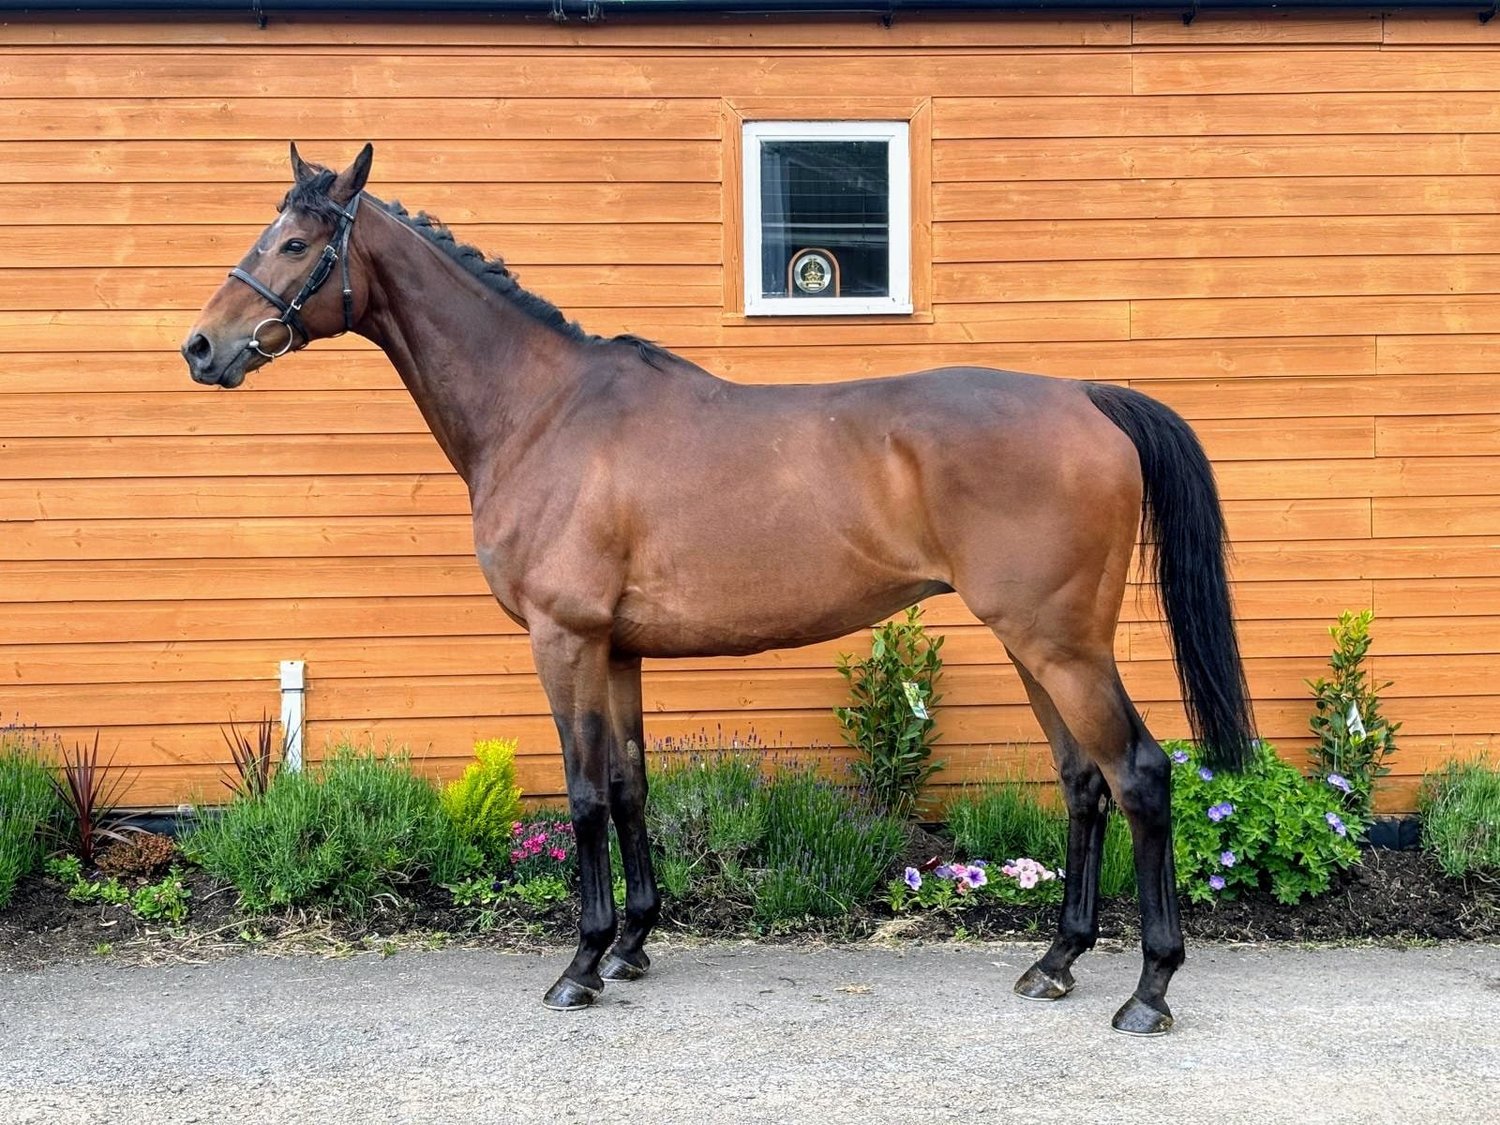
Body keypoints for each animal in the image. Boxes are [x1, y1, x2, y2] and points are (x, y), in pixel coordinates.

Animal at [182, 143, 1255, 1036]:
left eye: (294, 242)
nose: (201, 348)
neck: (543, 411)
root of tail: (1086, 398)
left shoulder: (563, 639)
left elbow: (581, 794)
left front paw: (578, 964)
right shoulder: (616, 648)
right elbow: (627, 785)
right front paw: (631, 944)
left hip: (1060, 643)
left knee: (1141, 775)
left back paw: (1148, 991)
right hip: (1038, 644)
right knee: (1084, 784)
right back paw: (1055, 961)